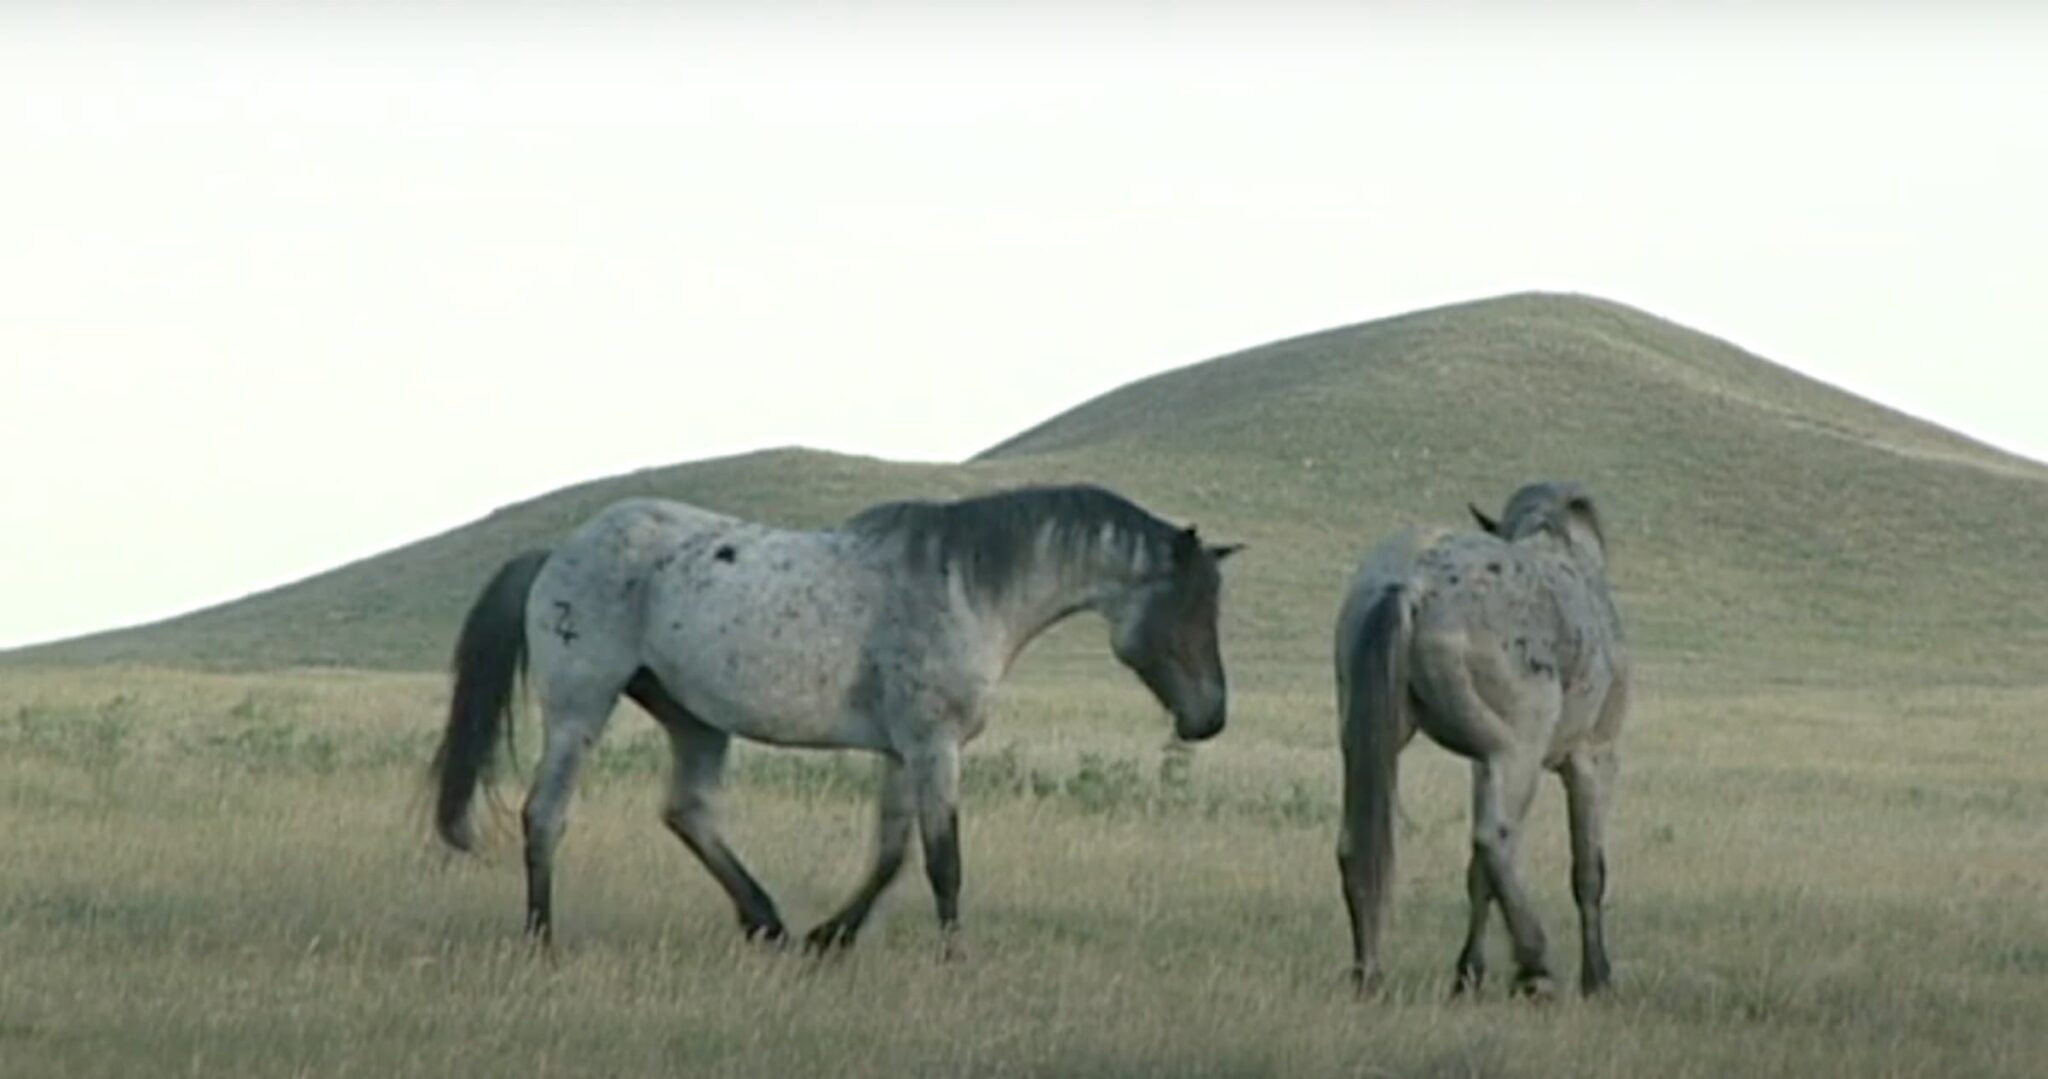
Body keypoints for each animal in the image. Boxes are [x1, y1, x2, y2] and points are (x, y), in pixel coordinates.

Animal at [430, 482, 1241, 954]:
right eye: (1188, 609)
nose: (1210, 718)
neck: (967, 587)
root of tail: (554, 554)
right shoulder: (933, 746)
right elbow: (942, 859)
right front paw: (953, 956)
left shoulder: (904, 751)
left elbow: (892, 853)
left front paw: (832, 937)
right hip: (580, 709)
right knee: (546, 814)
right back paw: (542, 941)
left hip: (694, 719)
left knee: (689, 811)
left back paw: (768, 923)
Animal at [1334, 481, 1629, 999]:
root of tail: (1414, 582)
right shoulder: (1593, 759)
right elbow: (1589, 871)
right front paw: (1598, 977)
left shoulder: (1480, 763)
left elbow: (1477, 877)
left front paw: (1468, 972)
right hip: (1518, 756)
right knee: (1496, 841)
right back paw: (1535, 966)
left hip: (1367, 742)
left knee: (1357, 846)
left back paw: (1369, 971)